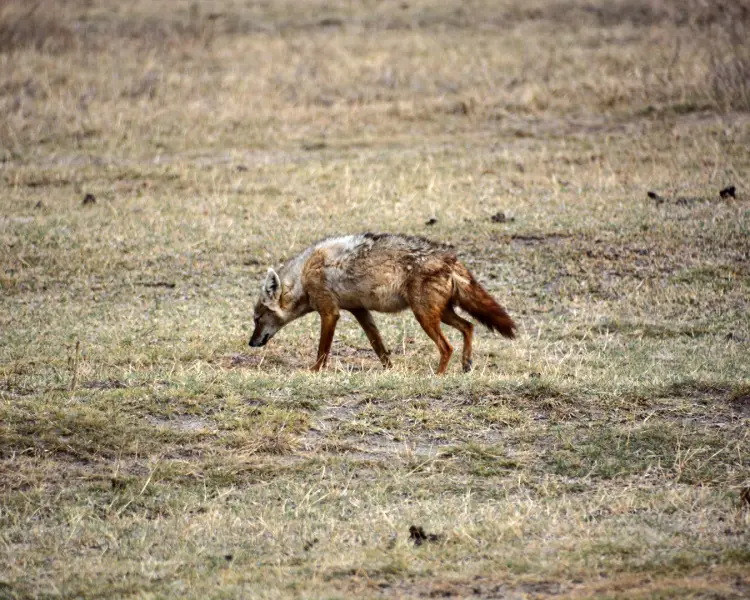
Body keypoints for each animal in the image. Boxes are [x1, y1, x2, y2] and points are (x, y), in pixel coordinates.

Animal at [249, 233, 516, 374]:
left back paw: (439, 376)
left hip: (425, 317)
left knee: (447, 346)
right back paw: (466, 364)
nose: (251, 343)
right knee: (469, 327)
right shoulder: (360, 311)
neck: (304, 275)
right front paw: (390, 370)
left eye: (257, 319)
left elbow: (322, 350)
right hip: (441, 314)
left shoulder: (330, 313)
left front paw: (314, 372)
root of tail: (449, 258)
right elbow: (378, 346)